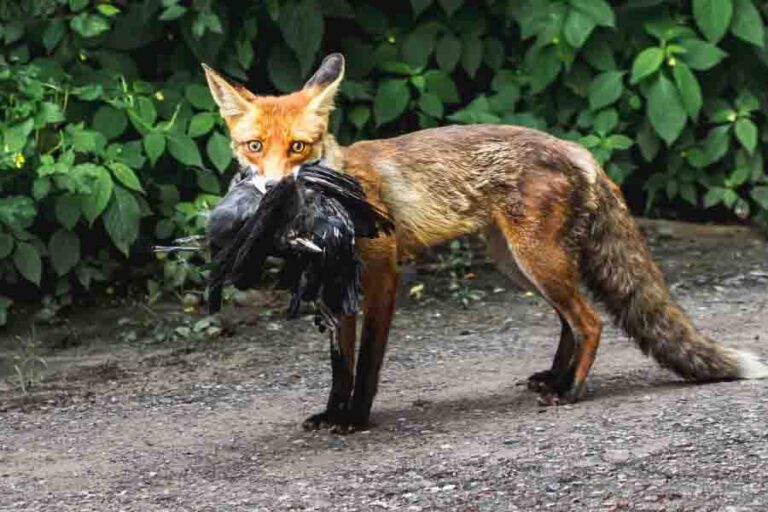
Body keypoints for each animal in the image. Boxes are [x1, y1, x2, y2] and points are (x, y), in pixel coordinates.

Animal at [202, 53, 768, 432]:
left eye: (299, 147)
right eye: (254, 146)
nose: (275, 190)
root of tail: (577, 148)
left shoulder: (383, 277)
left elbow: (367, 364)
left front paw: (357, 419)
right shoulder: (338, 285)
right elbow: (340, 367)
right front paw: (332, 414)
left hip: (537, 261)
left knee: (590, 321)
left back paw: (571, 391)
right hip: (518, 264)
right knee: (569, 322)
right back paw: (553, 378)